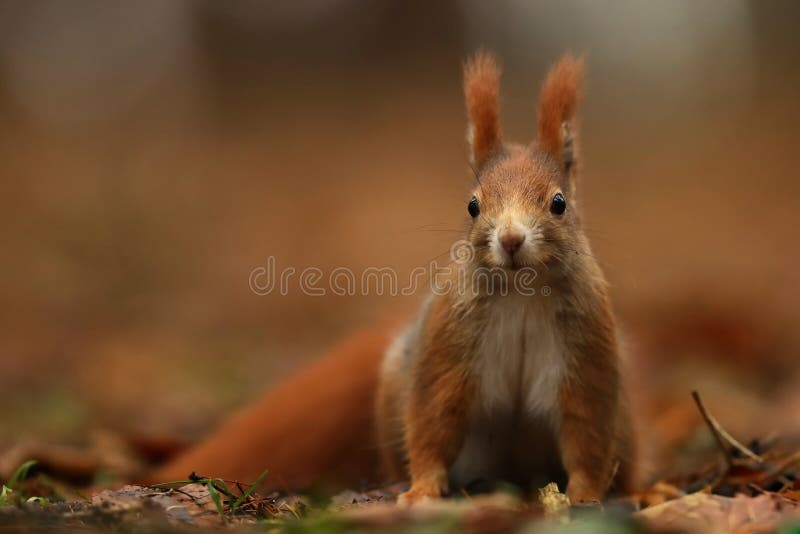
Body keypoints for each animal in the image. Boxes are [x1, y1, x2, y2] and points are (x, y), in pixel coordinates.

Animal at [375, 52, 636, 506]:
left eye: (559, 203)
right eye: (472, 205)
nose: (511, 239)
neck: (521, 292)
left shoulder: (587, 357)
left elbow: (586, 433)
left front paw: (586, 496)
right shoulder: (447, 345)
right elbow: (432, 419)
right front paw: (422, 489)